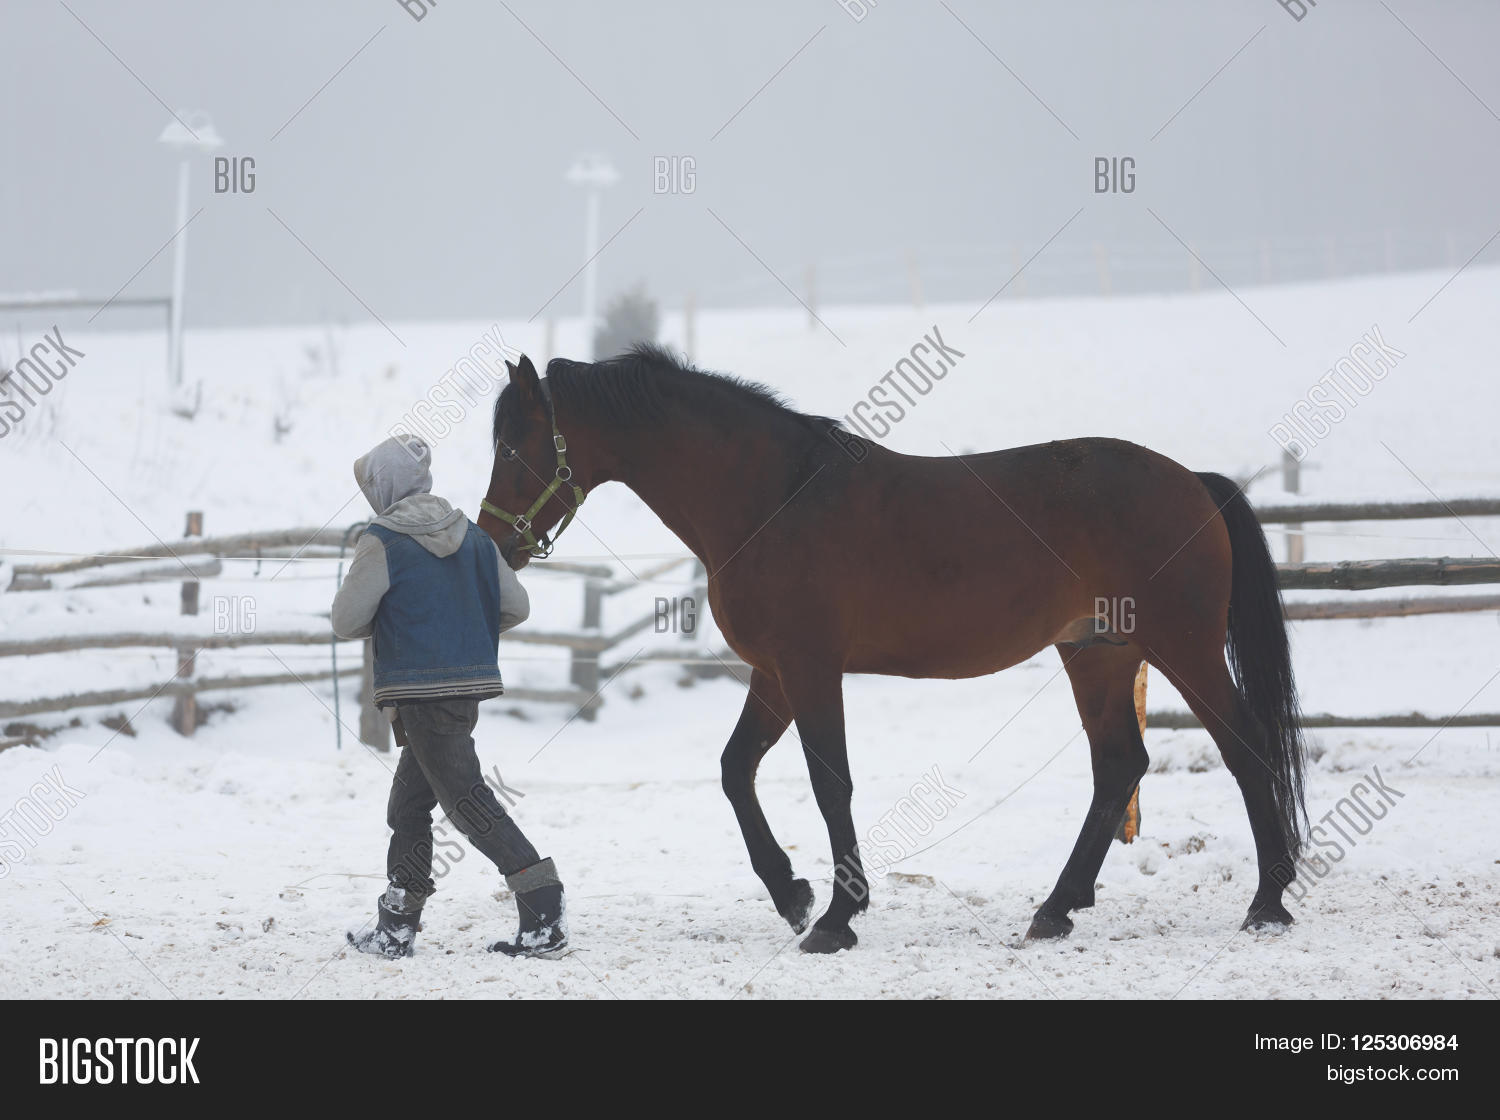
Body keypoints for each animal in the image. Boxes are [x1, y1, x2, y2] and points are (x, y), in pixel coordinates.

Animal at [478, 346, 1307, 954]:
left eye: (513, 447)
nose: (493, 543)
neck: (771, 498)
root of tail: (1193, 483)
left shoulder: (810, 669)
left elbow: (829, 783)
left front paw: (835, 918)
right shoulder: (774, 673)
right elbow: (736, 770)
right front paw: (792, 893)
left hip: (1182, 647)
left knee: (1245, 747)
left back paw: (1268, 902)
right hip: (1099, 654)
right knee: (1118, 767)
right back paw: (1056, 908)